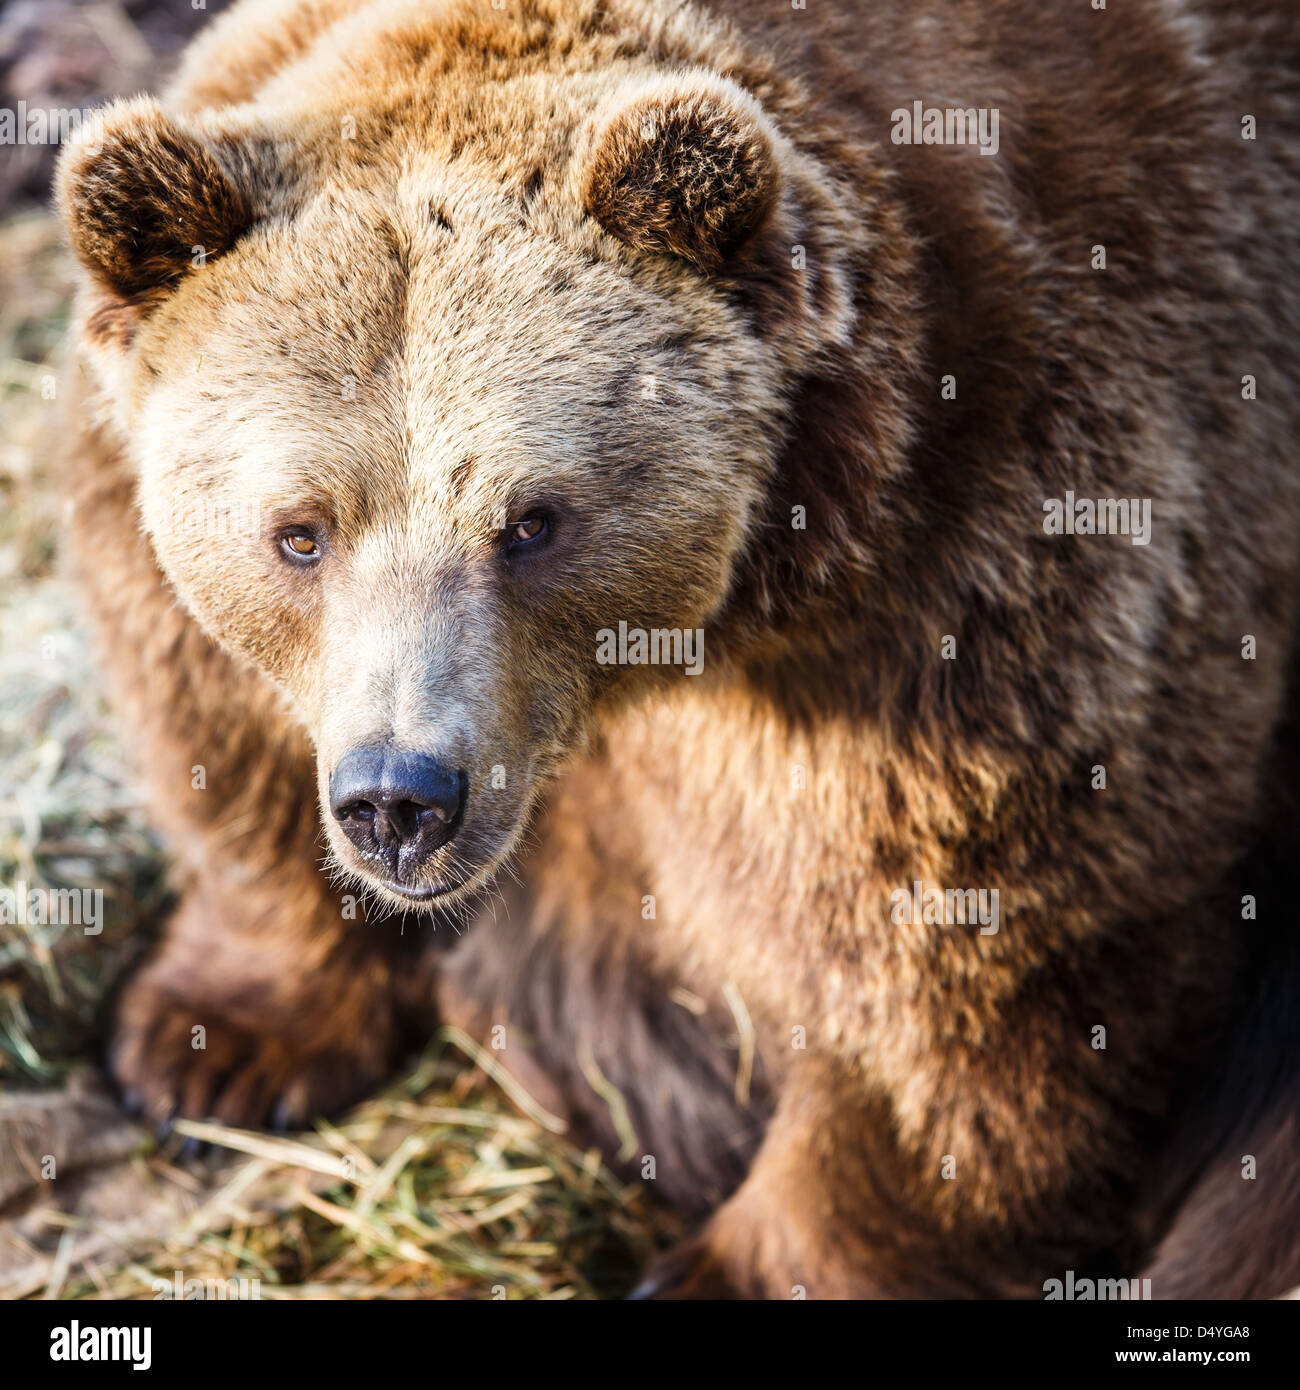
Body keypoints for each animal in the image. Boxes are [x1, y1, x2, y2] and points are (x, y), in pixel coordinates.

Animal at [53, 0, 1300, 1298]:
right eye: (300, 532)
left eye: (532, 521)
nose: (402, 799)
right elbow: (213, 719)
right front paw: (209, 1045)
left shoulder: (978, 581)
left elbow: (974, 959)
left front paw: (748, 1256)